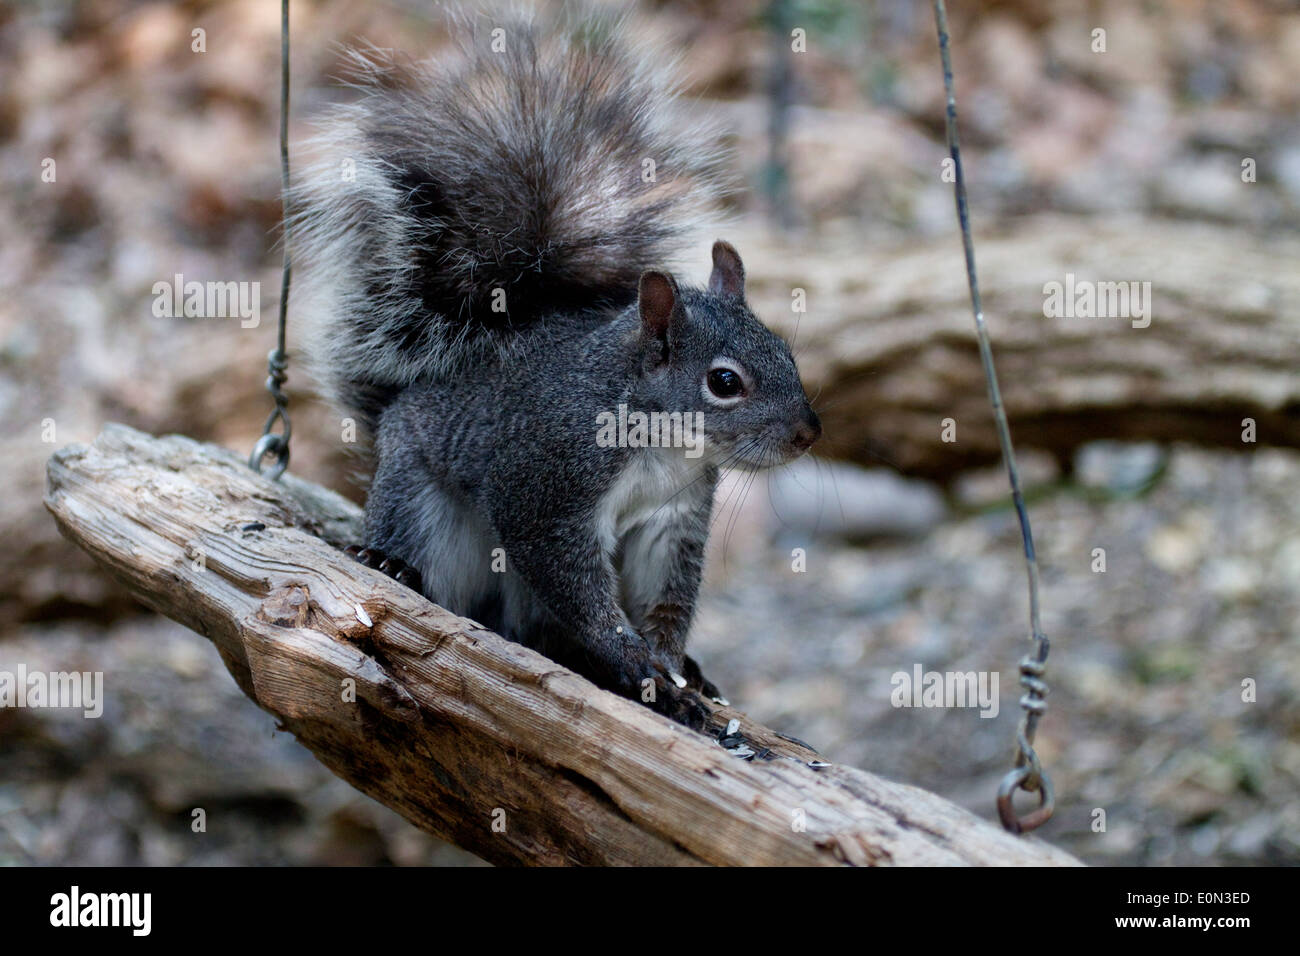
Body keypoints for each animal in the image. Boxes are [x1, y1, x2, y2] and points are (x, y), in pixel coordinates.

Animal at [290, 6, 821, 728]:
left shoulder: (673, 518)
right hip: (424, 504)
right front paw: (636, 664)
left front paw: (674, 666)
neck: (659, 441)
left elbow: (666, 595)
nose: (808, 433)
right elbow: (572, 580)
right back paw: (390, 563)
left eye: (786, 352)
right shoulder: (548, 483)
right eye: (724, 382)